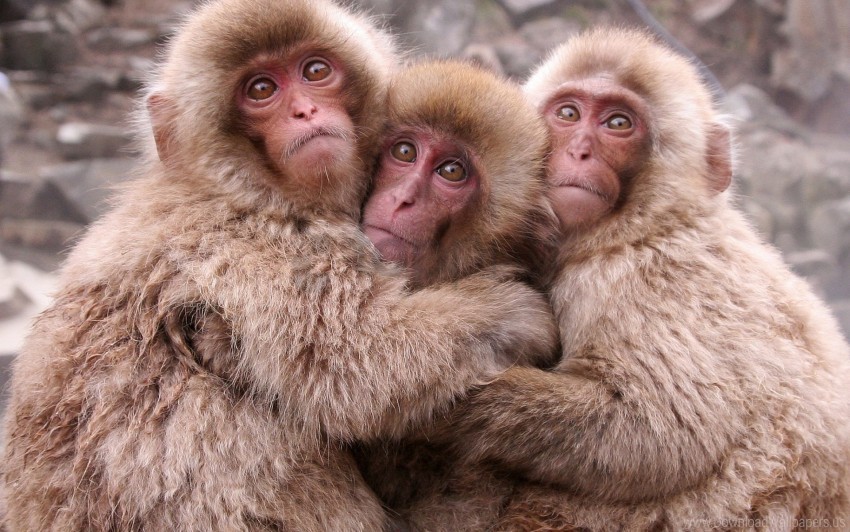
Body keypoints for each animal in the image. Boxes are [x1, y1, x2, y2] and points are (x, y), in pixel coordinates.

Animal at [381, 27, 850, 531]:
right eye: (569, 113)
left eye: (619, 123)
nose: (579, 151)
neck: (638, 228)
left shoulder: (639, 279)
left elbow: (659, 434)